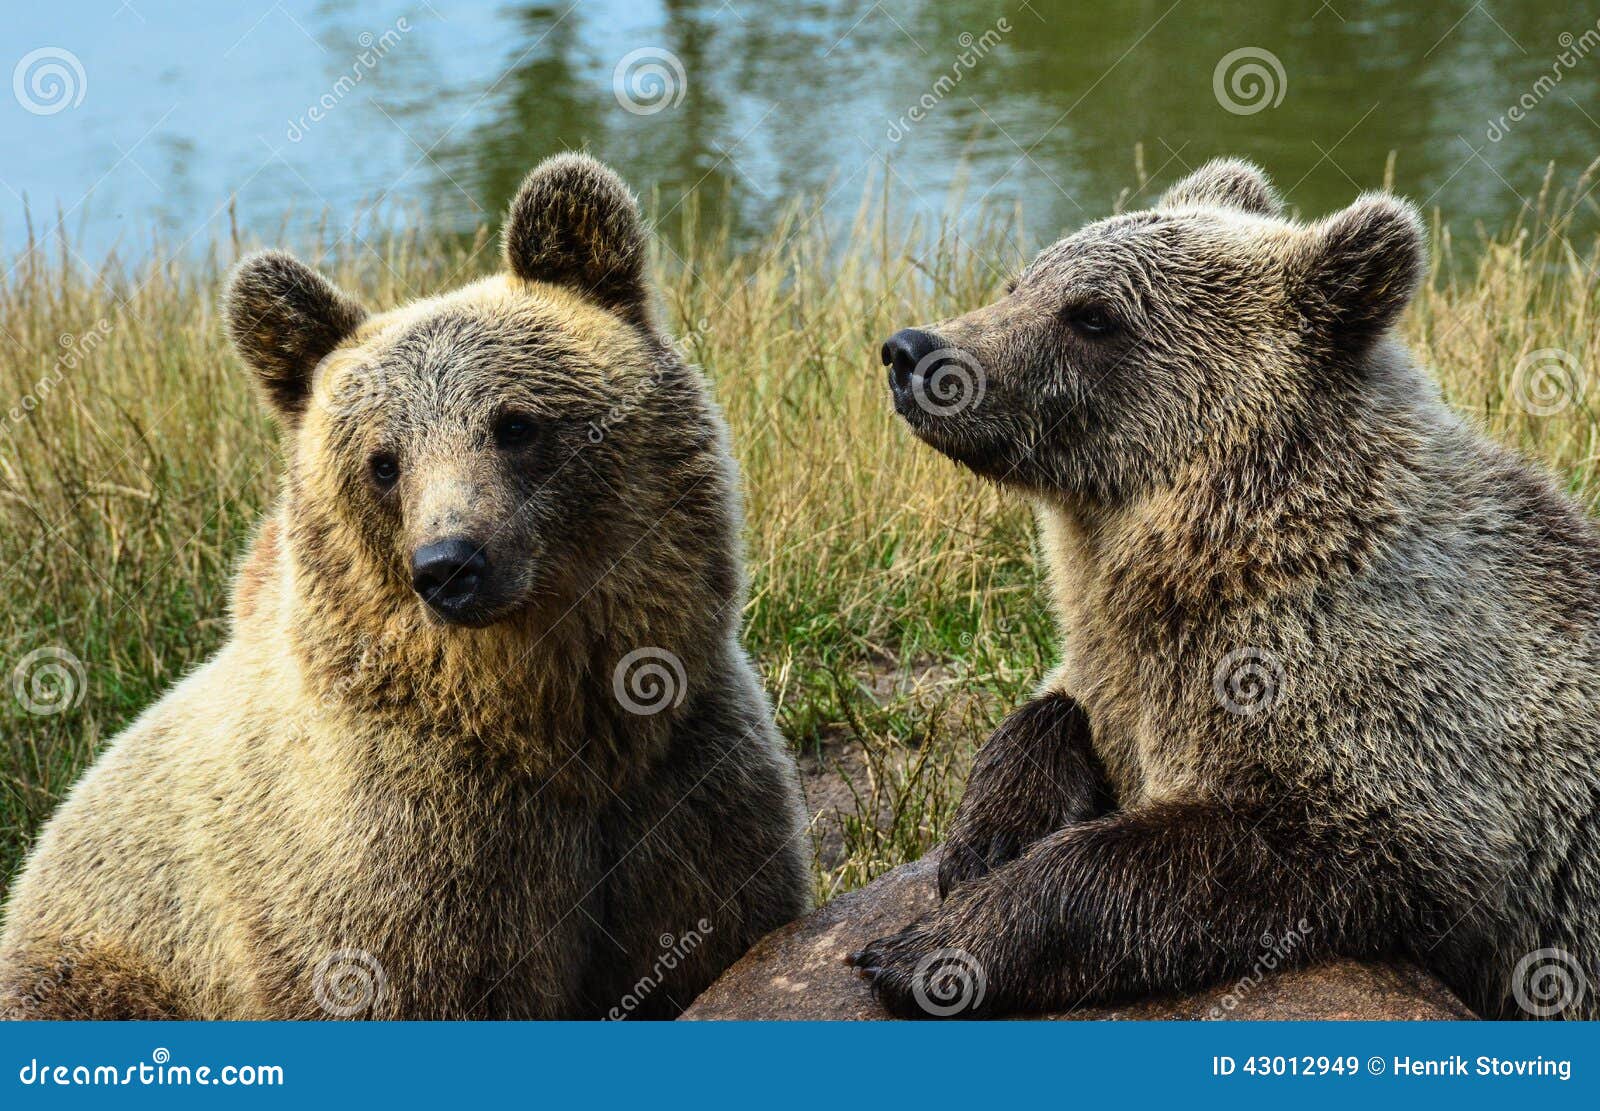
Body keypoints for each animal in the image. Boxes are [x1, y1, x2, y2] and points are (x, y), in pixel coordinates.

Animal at [0, 153, 809, 1020]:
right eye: (383, 462)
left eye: (516, 424)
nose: (450, 563)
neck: (550, 721)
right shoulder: (405, 850)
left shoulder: (684, 781)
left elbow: (715, 932)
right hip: (93, 961)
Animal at [854, 158, 1600, 1020]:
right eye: (1020, 282)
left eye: (1094, 315)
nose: (911, 350)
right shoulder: (1114, 653)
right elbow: (1052, 708)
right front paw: (985, 839)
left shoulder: (1405, 730)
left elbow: (1220, 848)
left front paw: (931, 947)